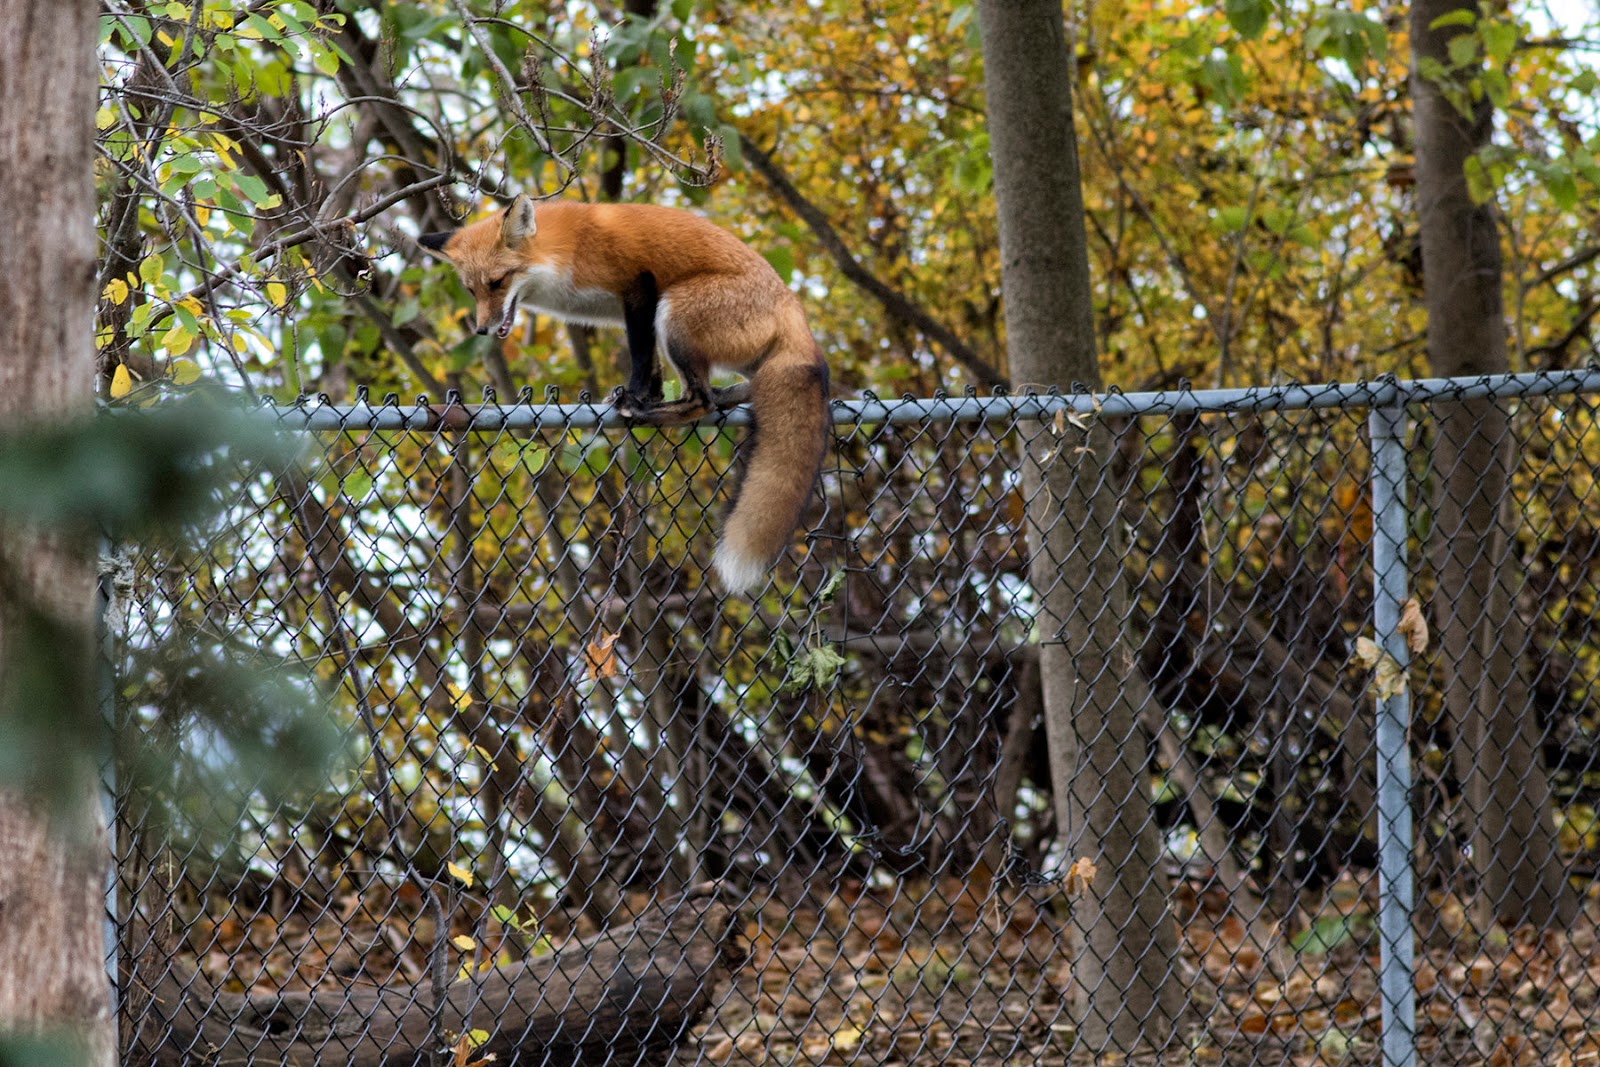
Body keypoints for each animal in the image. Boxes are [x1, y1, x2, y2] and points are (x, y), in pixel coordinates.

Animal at [417, 195, 830, 595]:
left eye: (498, 282)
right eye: (471, 290)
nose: (482, 330)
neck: (568, 252)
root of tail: (796, 314)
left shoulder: (639, 287)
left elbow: (640, 358)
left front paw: (635, 399)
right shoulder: (628, 312)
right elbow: (651, 369)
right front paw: (647, 394)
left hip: (674, 312)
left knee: (701, 400)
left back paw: (652, 413)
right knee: (726, 391)